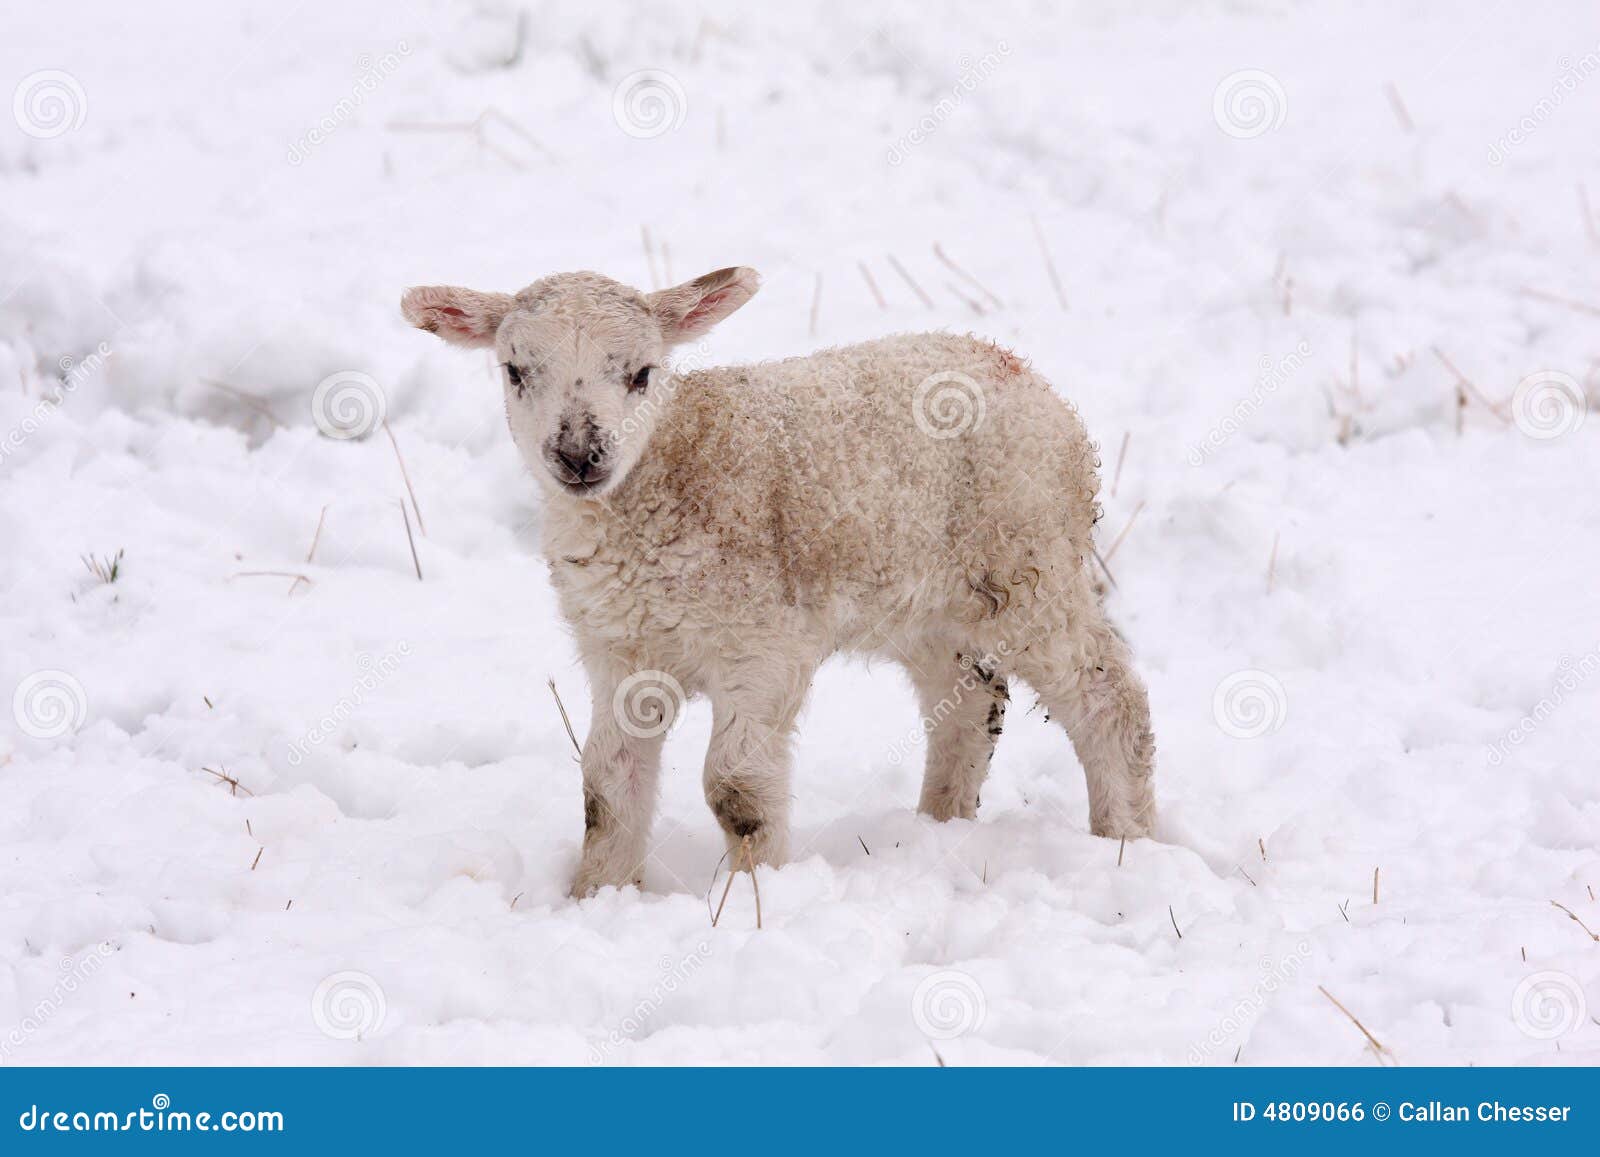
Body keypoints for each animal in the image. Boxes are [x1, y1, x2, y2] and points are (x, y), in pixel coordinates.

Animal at [401, 266, 1155, 898]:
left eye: (643, 373)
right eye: (515, 370)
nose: (579, 455)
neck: (664, 475)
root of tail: (1026, 375)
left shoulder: (760, 645)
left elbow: (736, 790)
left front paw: (750, 896)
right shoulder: (621, 649)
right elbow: (606, 788)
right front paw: (599, 896)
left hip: (1030, 567)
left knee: (1109, 697)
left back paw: (1126, 840)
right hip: (931, 607)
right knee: (968, 708)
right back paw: (939, 828)